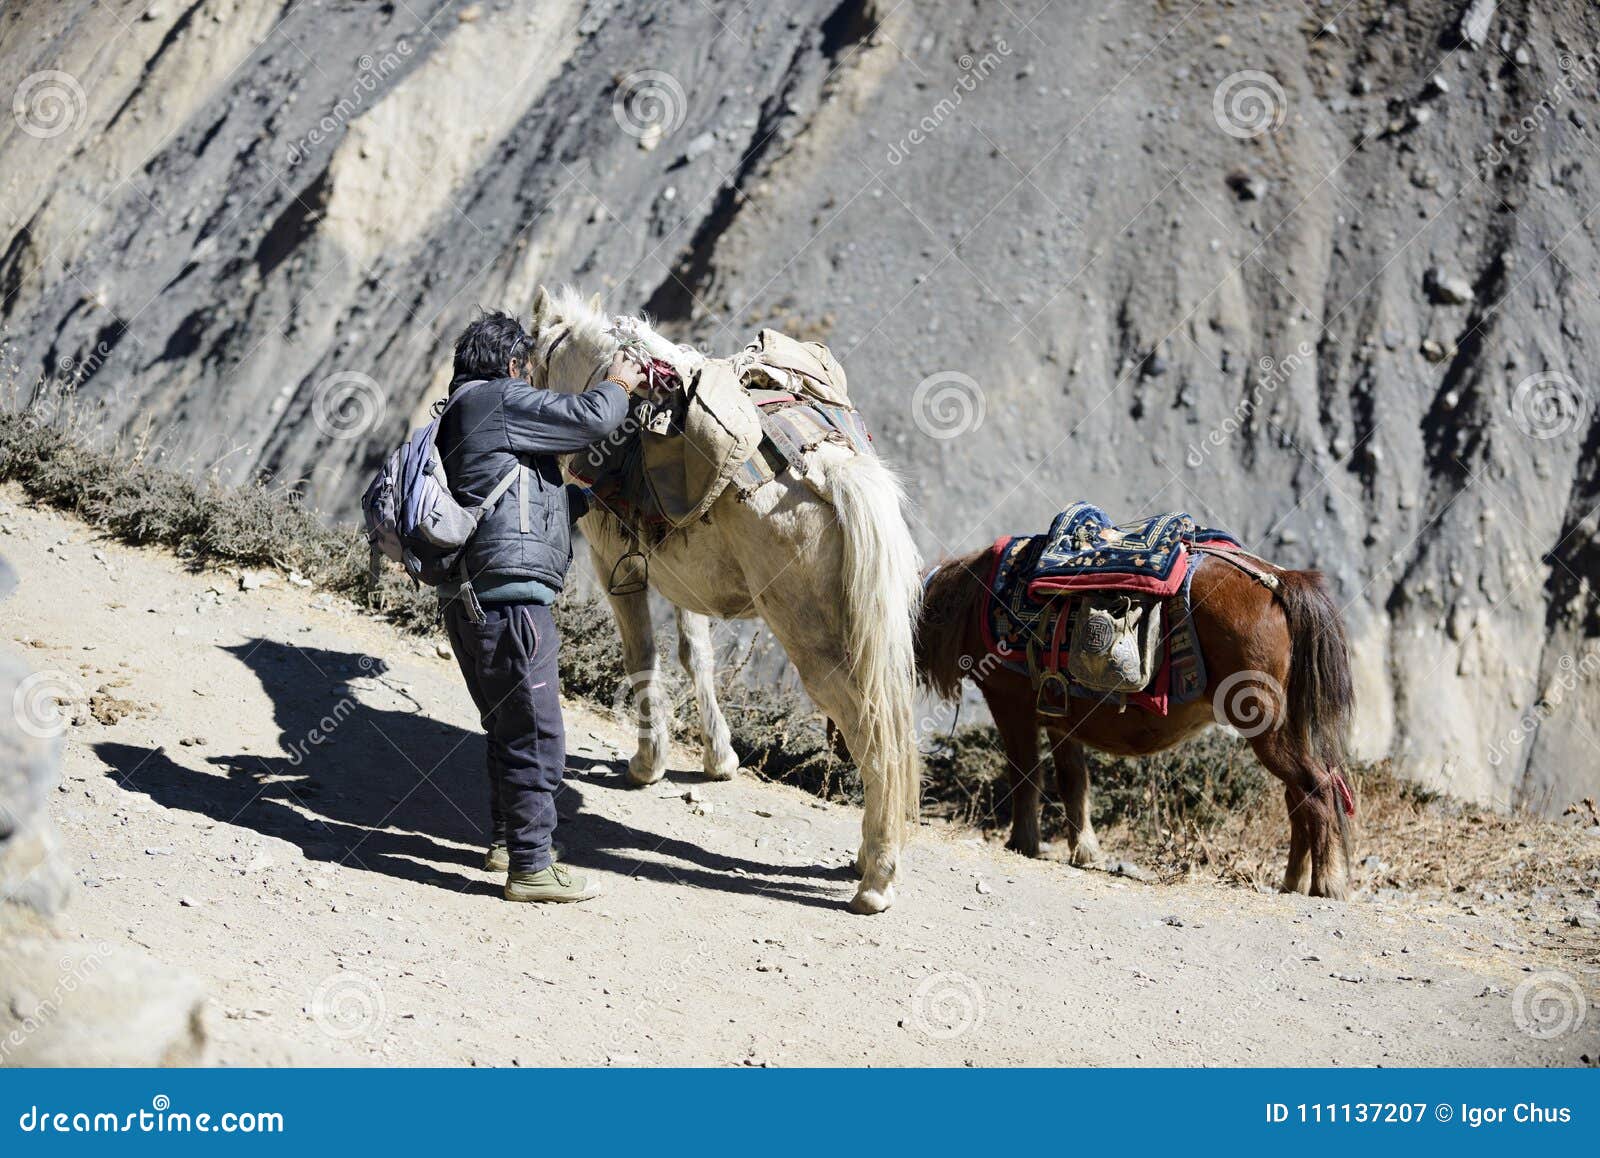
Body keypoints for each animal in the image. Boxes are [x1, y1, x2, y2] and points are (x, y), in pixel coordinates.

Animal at [524, 286, 923, 914]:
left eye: (535, 356)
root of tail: (832, 473)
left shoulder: (618, 570)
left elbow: (643, 657)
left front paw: (648, 763)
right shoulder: (684, 579)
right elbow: (697, 655)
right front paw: (719, 760)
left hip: (819, 650)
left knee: (874, 736)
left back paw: (876, 879)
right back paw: (866, 857)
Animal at [915, 541, 1357, 899]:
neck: (973, 599)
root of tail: (1281, 582)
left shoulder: (1010, 703)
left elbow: (1025, 774)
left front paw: (1022, 843)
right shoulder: (1060, 719)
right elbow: (1074, 782)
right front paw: (1085, 849)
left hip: (1266, 728)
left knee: (1316, 789)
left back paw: (1327, 884)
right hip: (1286, 729)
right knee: (1298, 798)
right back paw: (1292, 882)